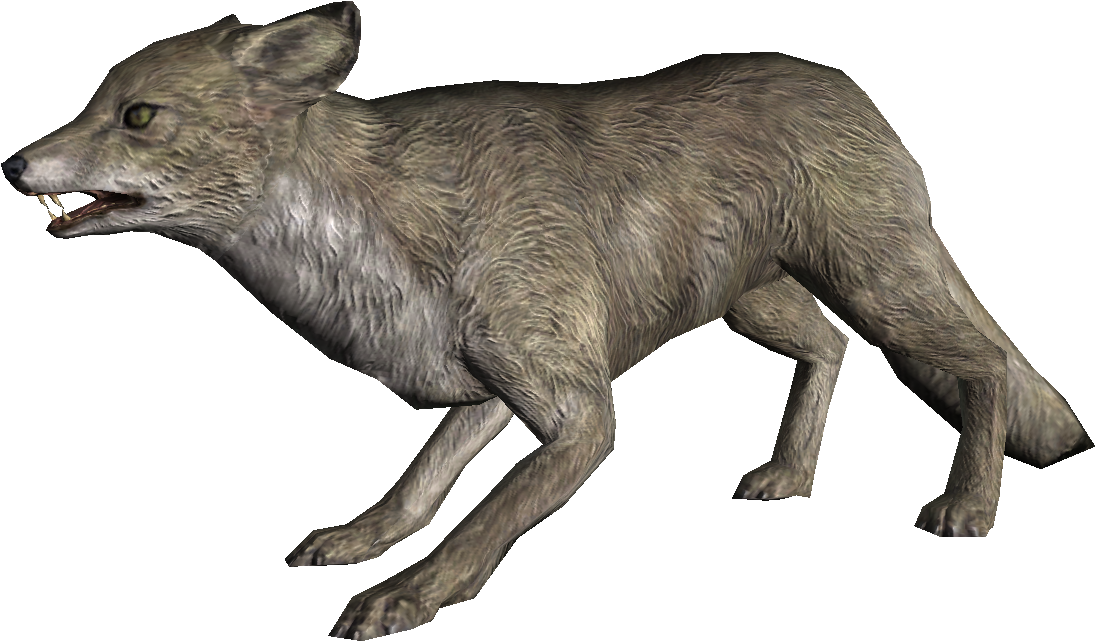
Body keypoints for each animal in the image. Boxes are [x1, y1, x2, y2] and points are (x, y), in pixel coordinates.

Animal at [4, 2, 1088, 637]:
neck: (381, 238)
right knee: (830, 346)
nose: (11, 162)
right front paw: (362, 539)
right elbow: (417, 487)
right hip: (756, 306)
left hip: (876, 283)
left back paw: (968, 504)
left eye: (138, 117)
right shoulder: (484, 385)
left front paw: (409, 593)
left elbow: (482, 519)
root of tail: (847, 86)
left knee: (984, 361)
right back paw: (788, 472)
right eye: (93, 100)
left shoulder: (578, 408)